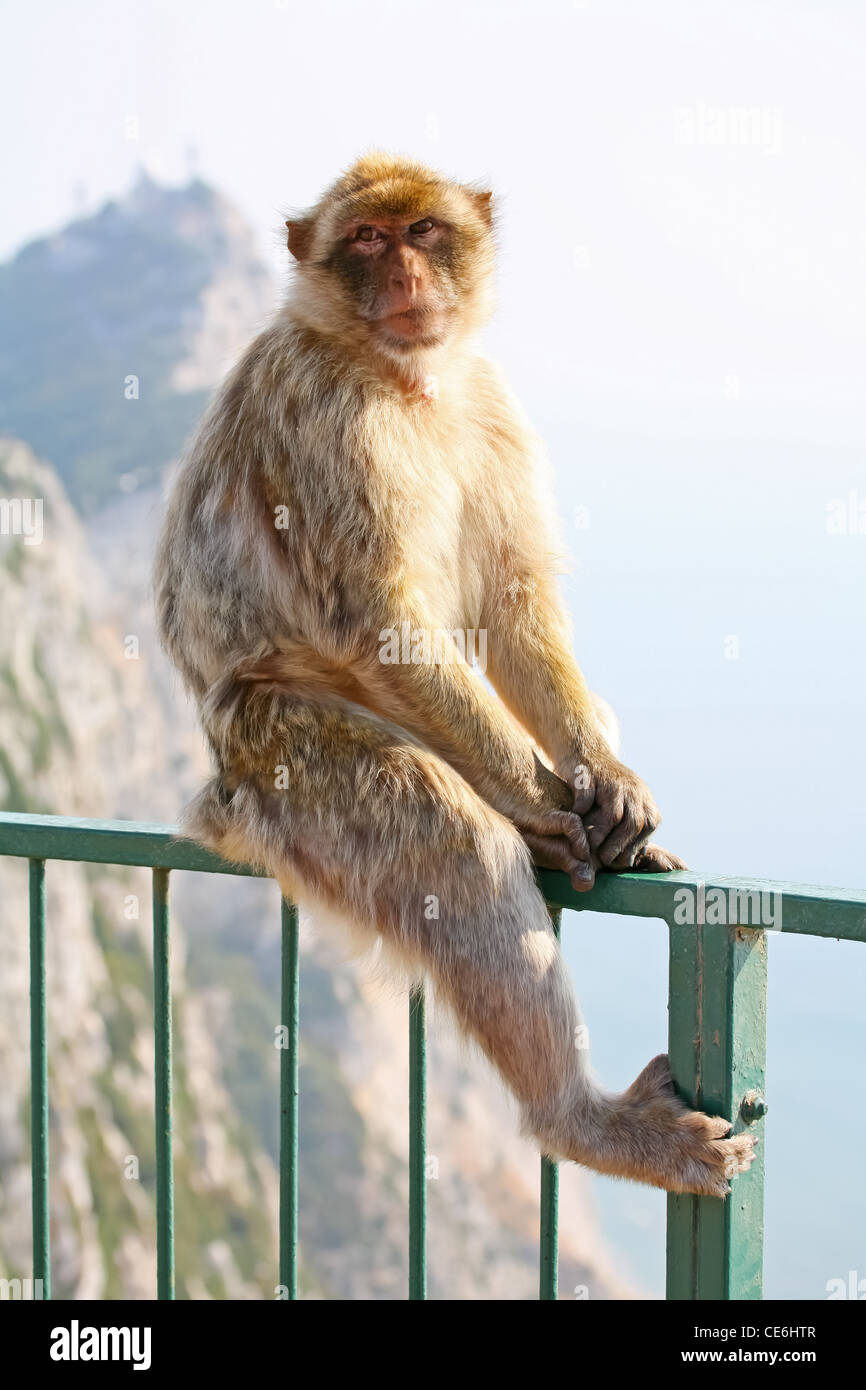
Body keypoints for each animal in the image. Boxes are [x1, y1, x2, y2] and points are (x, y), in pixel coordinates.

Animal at [153, 154, 755, 1198]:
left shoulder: (487, 397)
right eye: (365, 238)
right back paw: (580, 1119)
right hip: (283, 763)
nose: (402, 273)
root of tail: (217, 786)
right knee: (451, 845)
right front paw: (543, 802)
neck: (406, 376)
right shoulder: (325, 412)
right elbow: (380, 621)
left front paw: (606, 784)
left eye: (424, 231)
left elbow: (514, 604)